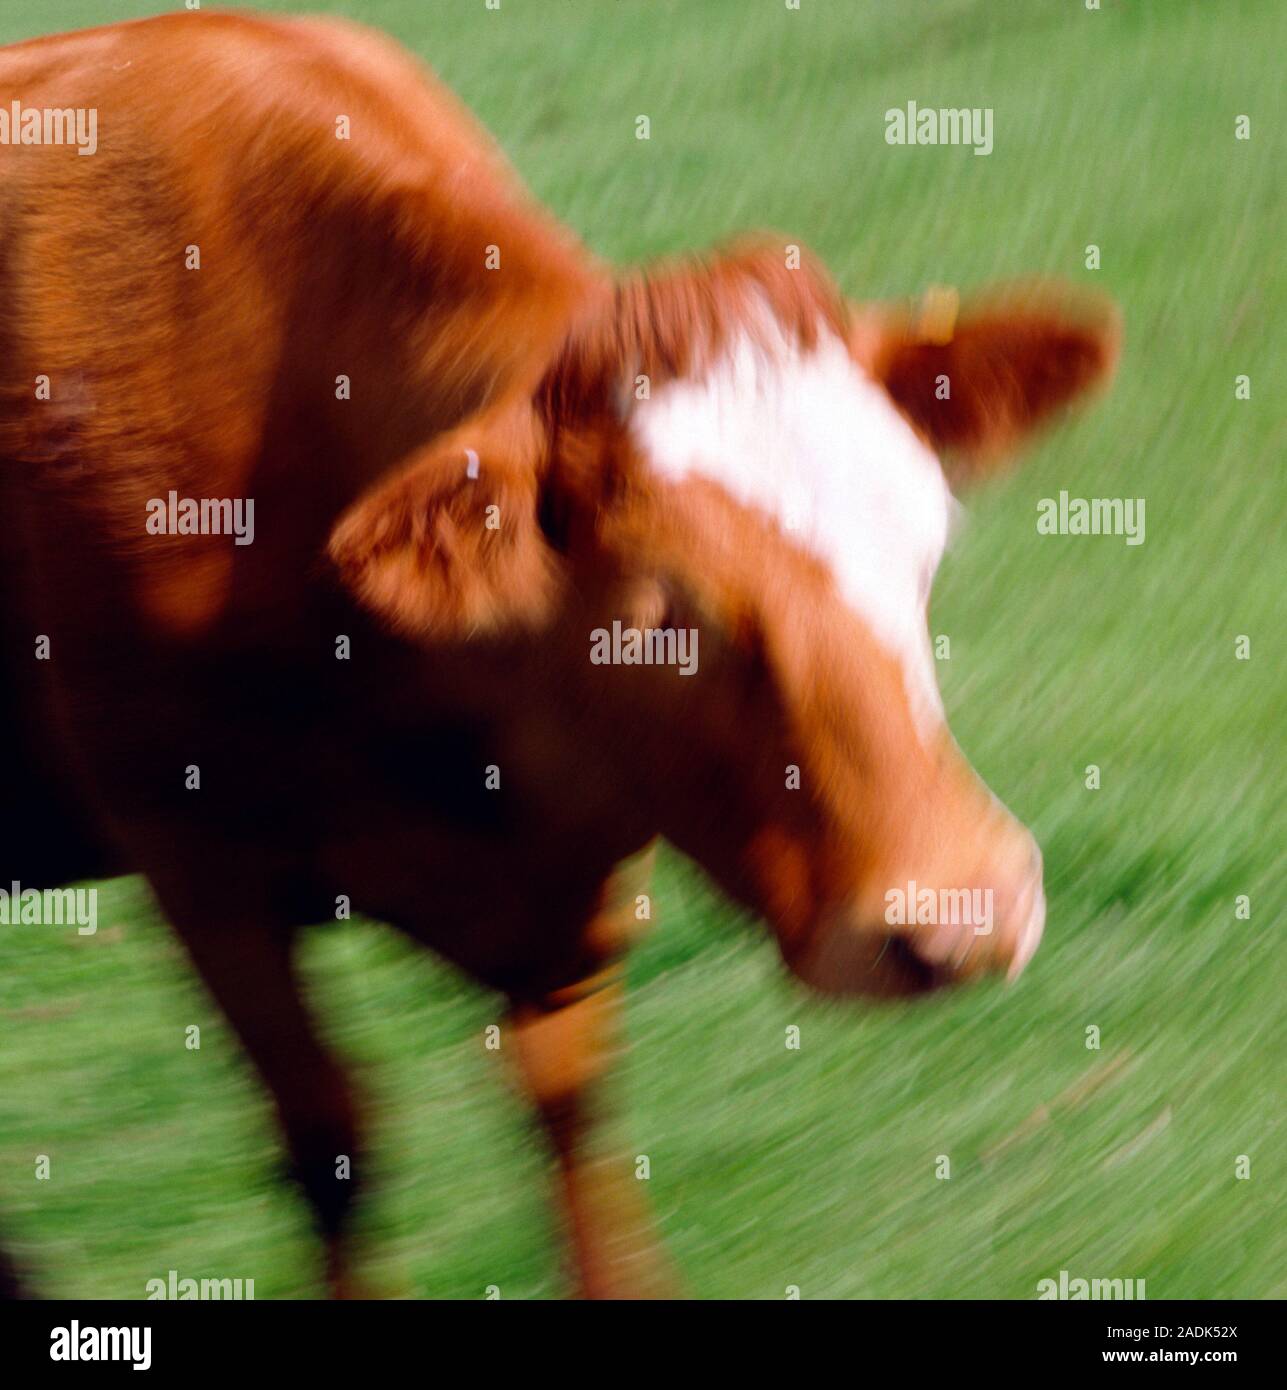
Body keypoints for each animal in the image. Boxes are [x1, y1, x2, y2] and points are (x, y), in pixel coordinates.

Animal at [0, 11, 1118, 1298]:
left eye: (925, 546)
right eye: (658, 610)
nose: (970, 915)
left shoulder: (570, 889)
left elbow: (572, 1122)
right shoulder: (196, 861)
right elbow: (333, 1143)